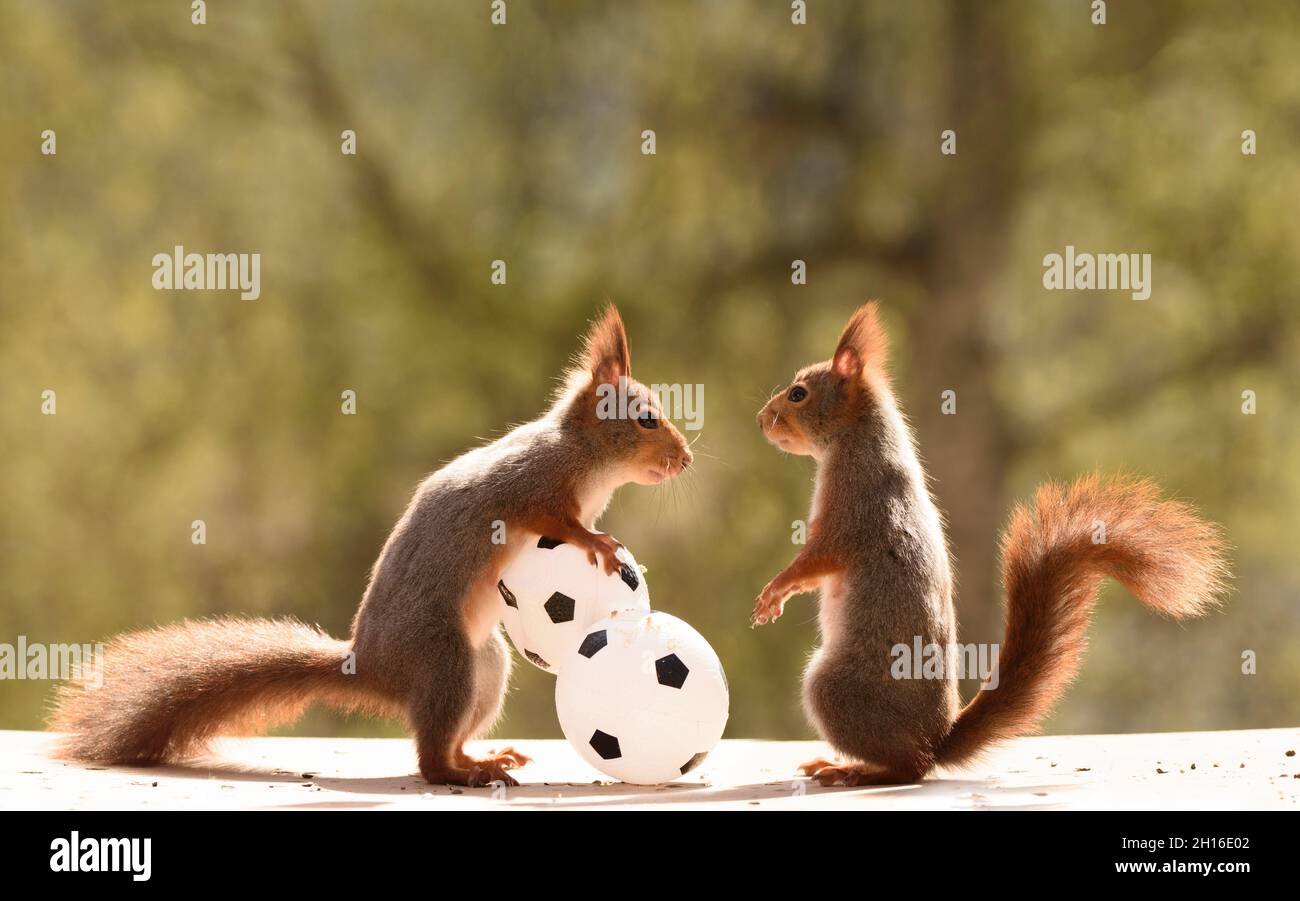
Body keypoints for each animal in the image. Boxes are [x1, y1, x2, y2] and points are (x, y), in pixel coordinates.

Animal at [50, 305, 693, 787]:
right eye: (645, 419)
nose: (685, 459)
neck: (585, 458)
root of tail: (373, 669)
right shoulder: (527, 486)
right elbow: (553, 519)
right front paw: (599, 543)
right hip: (444, 657)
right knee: (429, 761)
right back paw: (466, 775)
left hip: (486, 667)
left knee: (444, 741)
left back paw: (482, 759)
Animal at [751, 302, 1230, 786]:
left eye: (798, 394)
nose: (761, 420)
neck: (855, 446)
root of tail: (937, 740)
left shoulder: (853, 512)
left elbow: (817, 558)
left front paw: (775, 590)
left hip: (834, 690)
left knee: (909, 767)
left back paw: (855, 771)